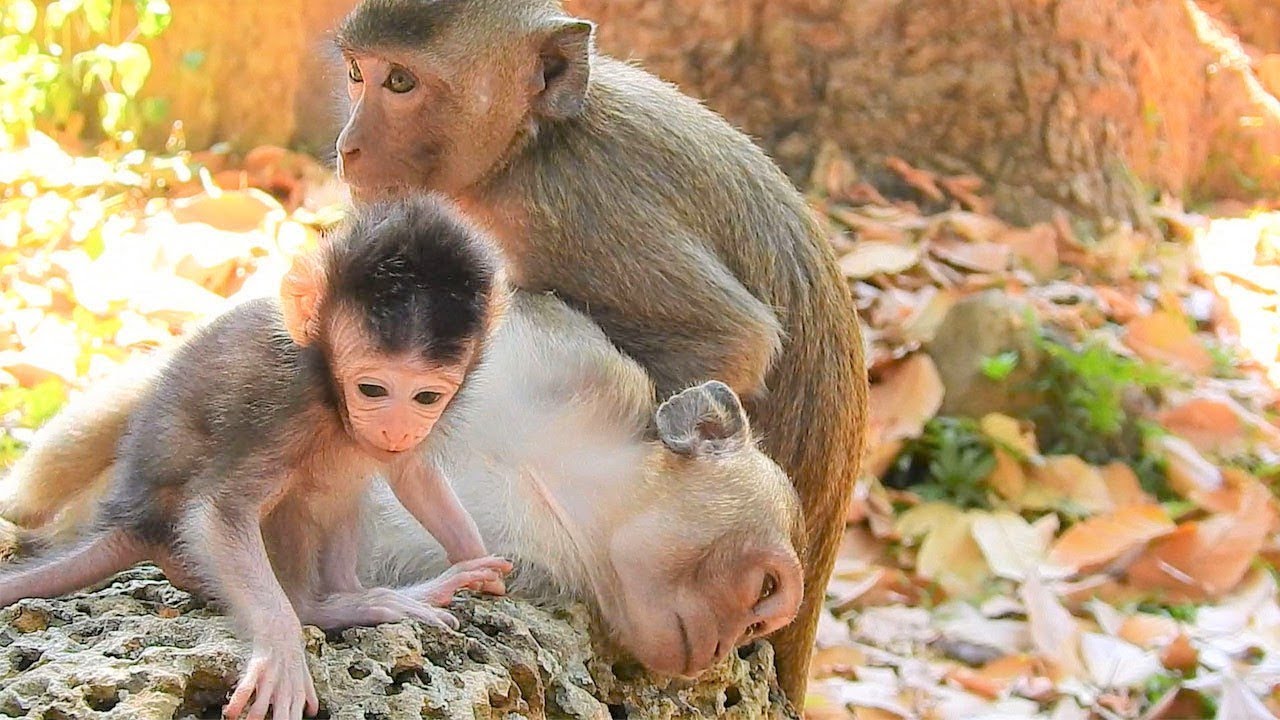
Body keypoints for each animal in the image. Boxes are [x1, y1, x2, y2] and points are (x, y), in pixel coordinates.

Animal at [0, 196, 513, 720]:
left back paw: (356, 592)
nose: (398, 428)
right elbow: (223, 513)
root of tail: (135, 520)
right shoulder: (284, 403)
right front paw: (282, 645)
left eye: (426, 397)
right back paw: (324, 607)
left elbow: (410, 471)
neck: (325, 381)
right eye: (373, 389)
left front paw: (476, 559)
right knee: (299, 489)